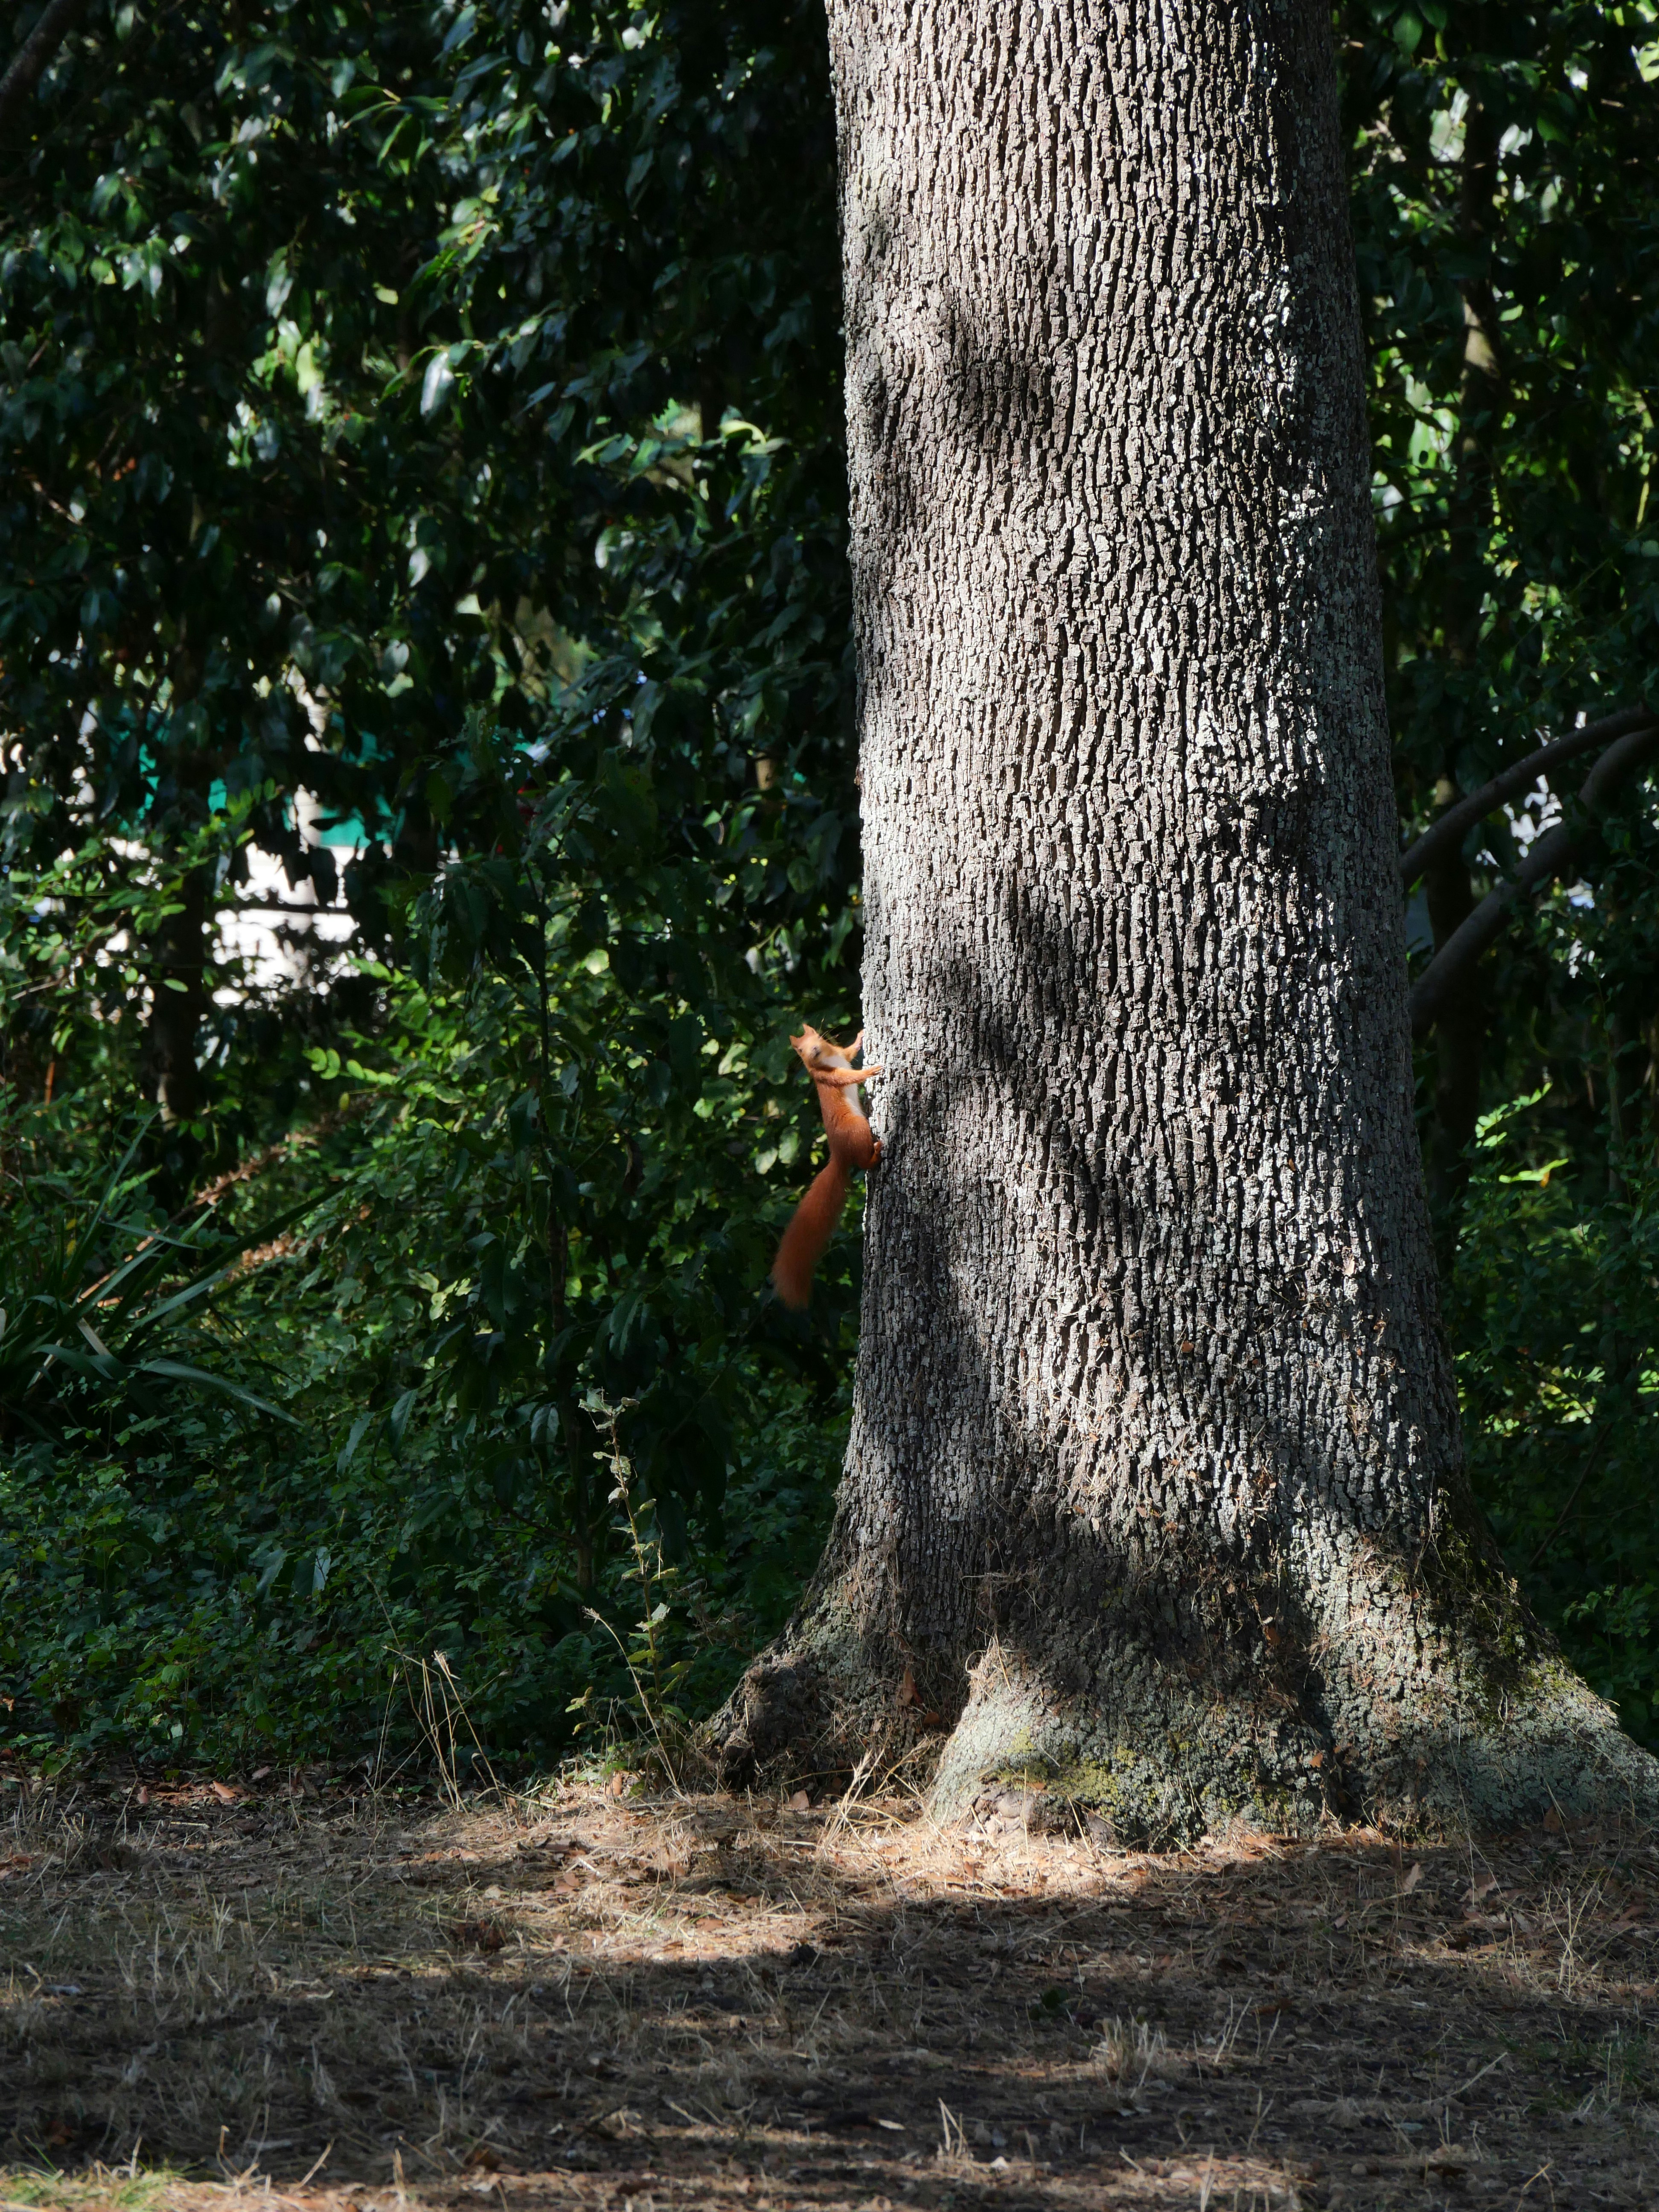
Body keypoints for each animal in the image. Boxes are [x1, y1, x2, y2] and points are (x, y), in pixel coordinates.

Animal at [770, 1025, 883, 1309]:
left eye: (816, 1037)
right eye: (800, 1050)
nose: (813, 1051)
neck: (828, 1058)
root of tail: (840, 1156)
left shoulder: (841, 1055)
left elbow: (850, 1052)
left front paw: (861, 1037)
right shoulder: (828, 1078)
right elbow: (847, 1077)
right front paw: (869, 1072)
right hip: (858, 1128)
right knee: (863, 1161)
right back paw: (876, 1154)